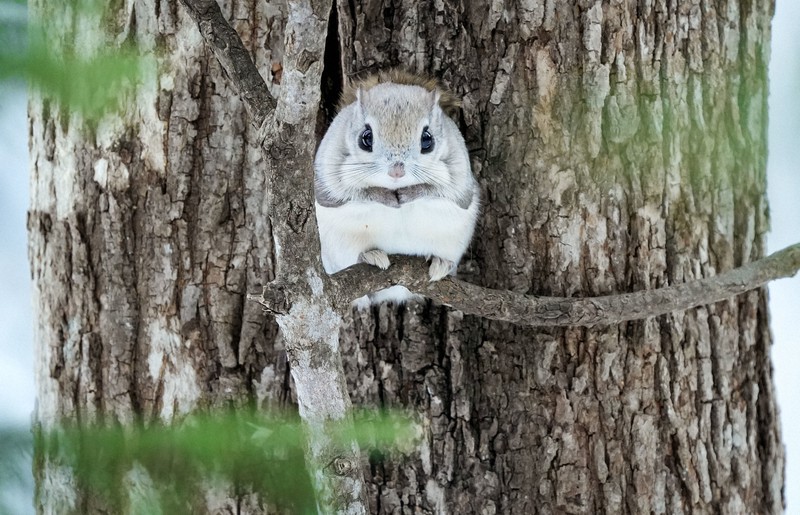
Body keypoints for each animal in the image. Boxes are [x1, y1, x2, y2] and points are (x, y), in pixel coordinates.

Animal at [314, 71, 480, 305]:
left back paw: (440, 263)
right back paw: (370, 256)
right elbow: (350, 195)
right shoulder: (327, 180)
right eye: (366, 138)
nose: (396, 172)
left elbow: (445, 195)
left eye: (427, 139)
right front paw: (385, 196)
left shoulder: (460, 178)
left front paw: (409, 193)